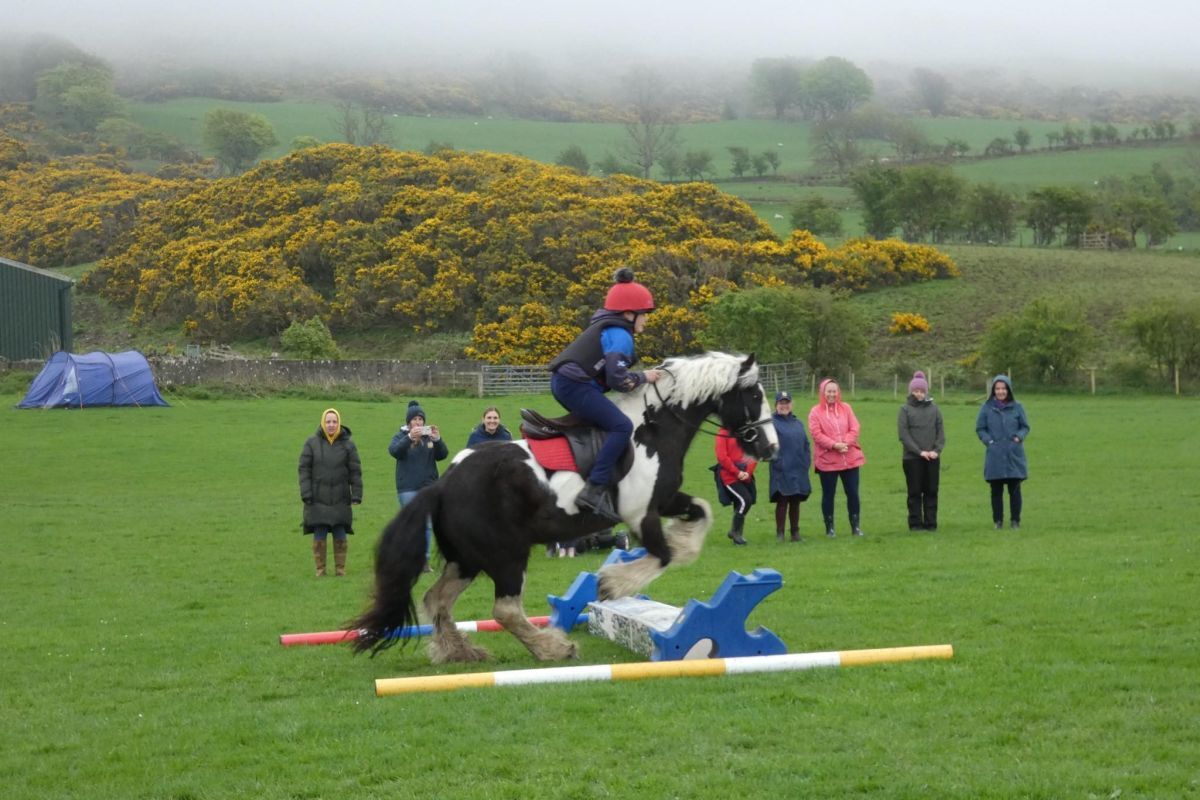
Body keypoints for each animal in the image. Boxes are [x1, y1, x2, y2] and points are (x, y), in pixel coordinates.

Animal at [349, 352, 779, 663]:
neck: (653, 432)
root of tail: (442, 484)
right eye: (755, 396)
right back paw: (552, 647)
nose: (770, 448)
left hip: (467, 558)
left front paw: (678, 541)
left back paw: (458, 651)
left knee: (436, 600)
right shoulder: (641, 513)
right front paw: (613, 583)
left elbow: (700, 515)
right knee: (505, 610)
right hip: (505, 555)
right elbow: (662, 555)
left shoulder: (665, 499)